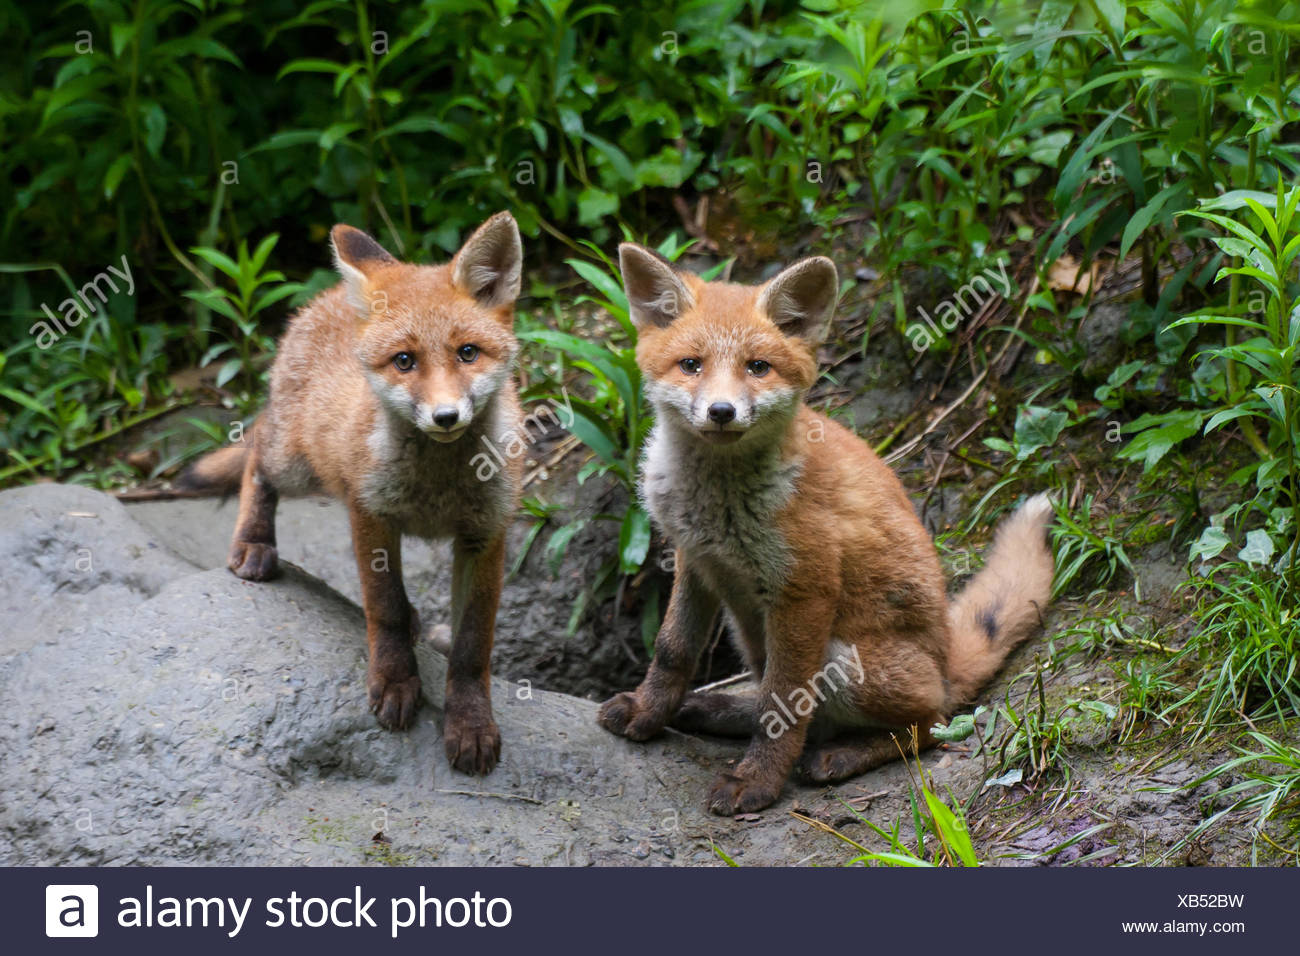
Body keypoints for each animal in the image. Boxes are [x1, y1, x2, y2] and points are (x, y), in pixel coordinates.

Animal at [176, 212, 526, 776]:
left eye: (468, 353)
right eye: (404, 361)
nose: (446, 416)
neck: (438, 485)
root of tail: (326, 298)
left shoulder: (485, 533)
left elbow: (472, 647)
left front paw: (470, 723)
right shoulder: (371, 513)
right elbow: (383, 607)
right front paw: (396, 680)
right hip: (298, 465)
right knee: (255, 454)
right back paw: (253, 541)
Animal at [597, 244, 1055, 815]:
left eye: (758, 368)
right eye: (690, 365)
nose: (721, 411)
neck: (717, 506)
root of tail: (947, 659)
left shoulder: (805, 587)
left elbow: (783, 702)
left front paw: (757, 782)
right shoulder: (696, 559)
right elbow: (672, 651)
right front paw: (647, 713)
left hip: (843, 660)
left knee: (929, 725)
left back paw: (843, 754)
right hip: (749, 631)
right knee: (799, 709)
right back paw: (716, 710)